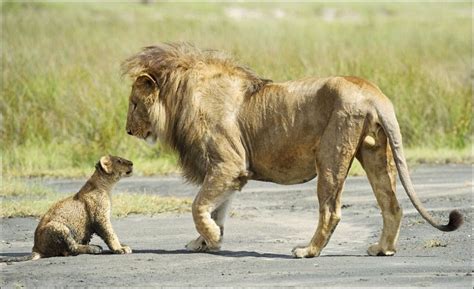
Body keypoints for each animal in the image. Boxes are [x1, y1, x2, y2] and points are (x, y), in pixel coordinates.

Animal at [122, 42, 462, 256]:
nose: (127, 130)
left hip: (331, 157)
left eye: (134, 104)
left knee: (331, 211)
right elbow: (216, 208)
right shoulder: (231, 173)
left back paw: (307, 251)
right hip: (376, 154)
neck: (180, 97)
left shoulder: (228, 164)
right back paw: (382, 249)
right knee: (392, 205)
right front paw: (205, 241)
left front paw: (211, 238)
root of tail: (372, 92)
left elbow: (198, 206)